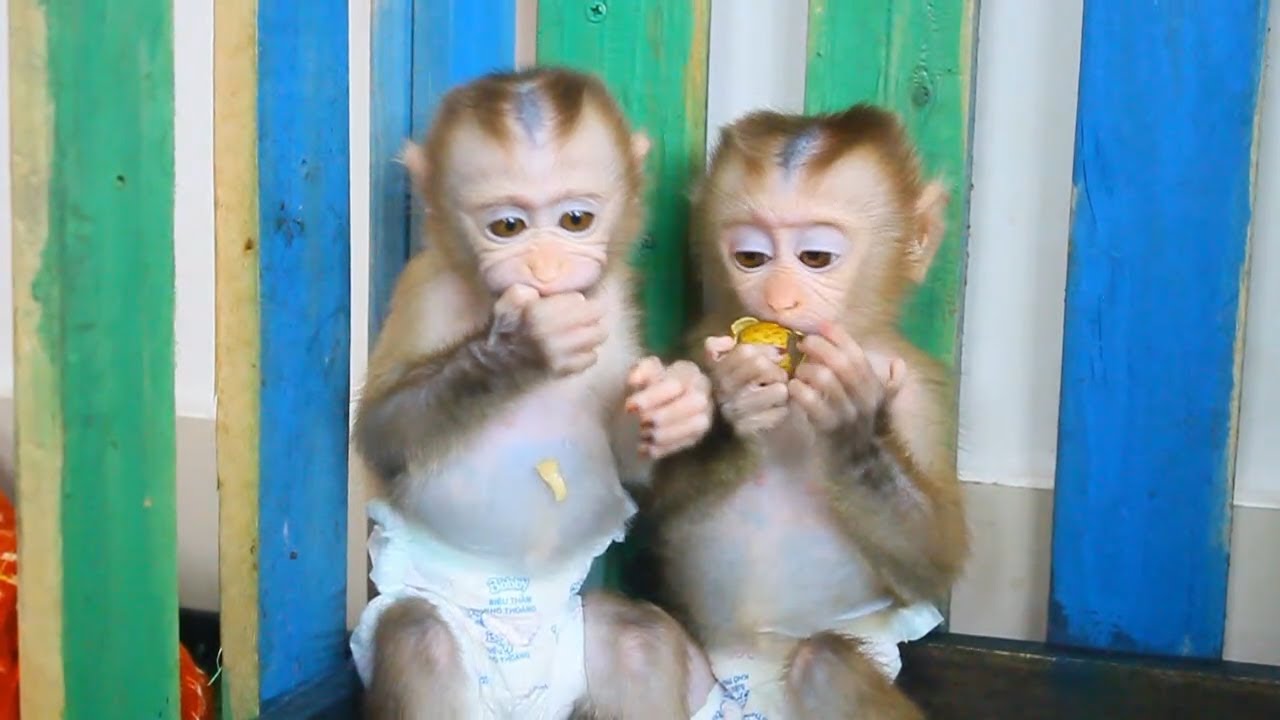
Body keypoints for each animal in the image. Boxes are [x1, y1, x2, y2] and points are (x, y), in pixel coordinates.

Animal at [347, 67, 738, 719]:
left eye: (575, 221)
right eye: (508, 227)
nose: (547, 270)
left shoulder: (616, 300)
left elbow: (628, 453)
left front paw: (677, 408)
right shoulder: (424, 289)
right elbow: (381, 432)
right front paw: (522, 346)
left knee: (636, 639)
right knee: (420, 640)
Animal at [641, 105, 970, 719]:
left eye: (815, 257)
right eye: (751, 258)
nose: (779, 300)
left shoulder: (919, 390)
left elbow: (933, 562)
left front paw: (857, 431)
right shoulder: (698, 345)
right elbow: (657, 508)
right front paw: (731, 415)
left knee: (827, 662)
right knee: (634, 636)